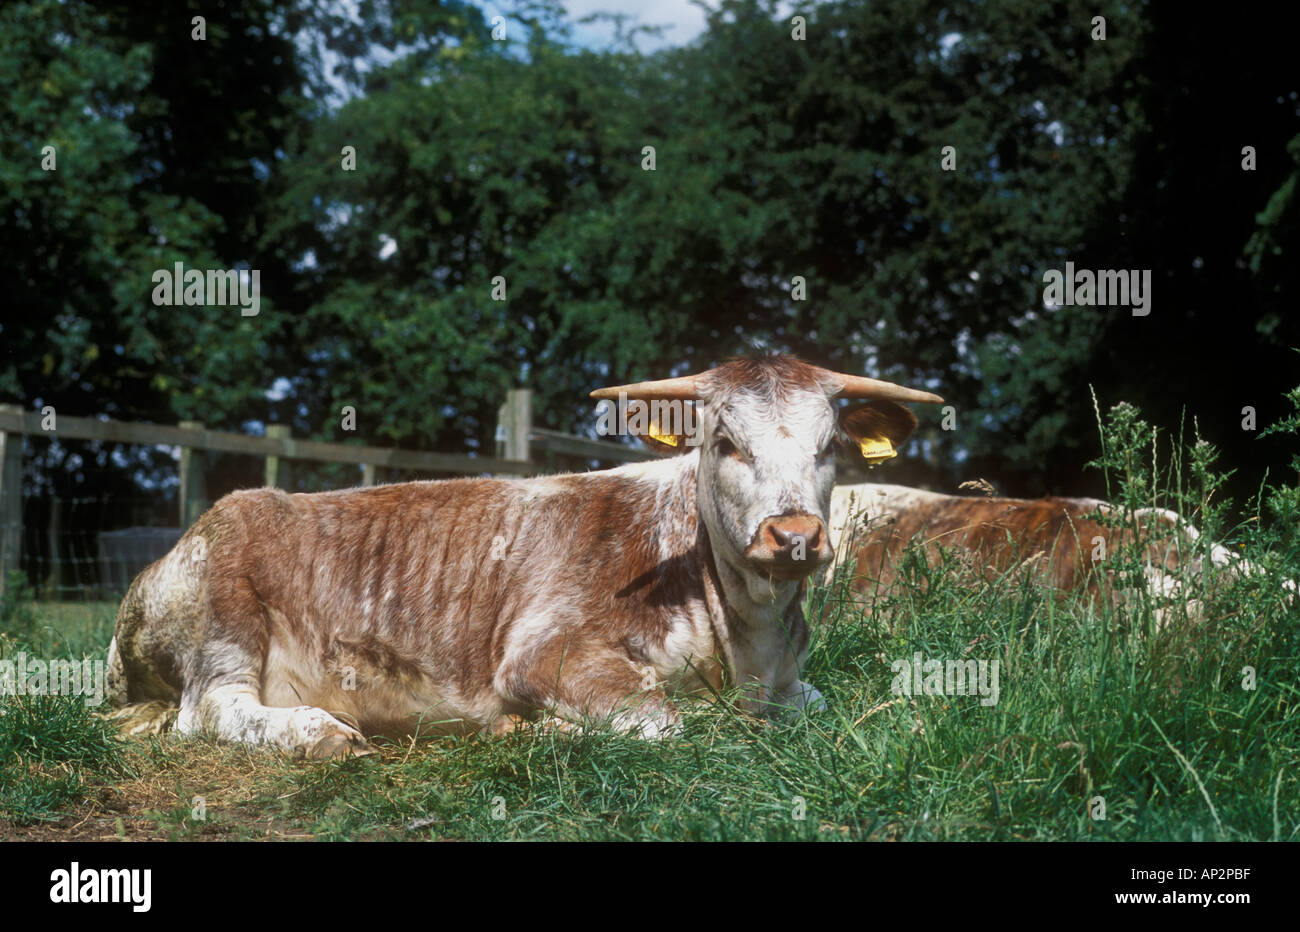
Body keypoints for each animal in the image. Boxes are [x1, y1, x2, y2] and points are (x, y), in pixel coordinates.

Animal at [105, 356, 943, 758]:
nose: (793, 535)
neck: (749, 642)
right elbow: (662, 722)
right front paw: (537, 730)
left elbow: (820, 705)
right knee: (211, 710)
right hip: (223, 620)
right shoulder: (546, 652)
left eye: (829, 447)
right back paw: (315, 733)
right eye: (725, 443)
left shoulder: (794, 685)